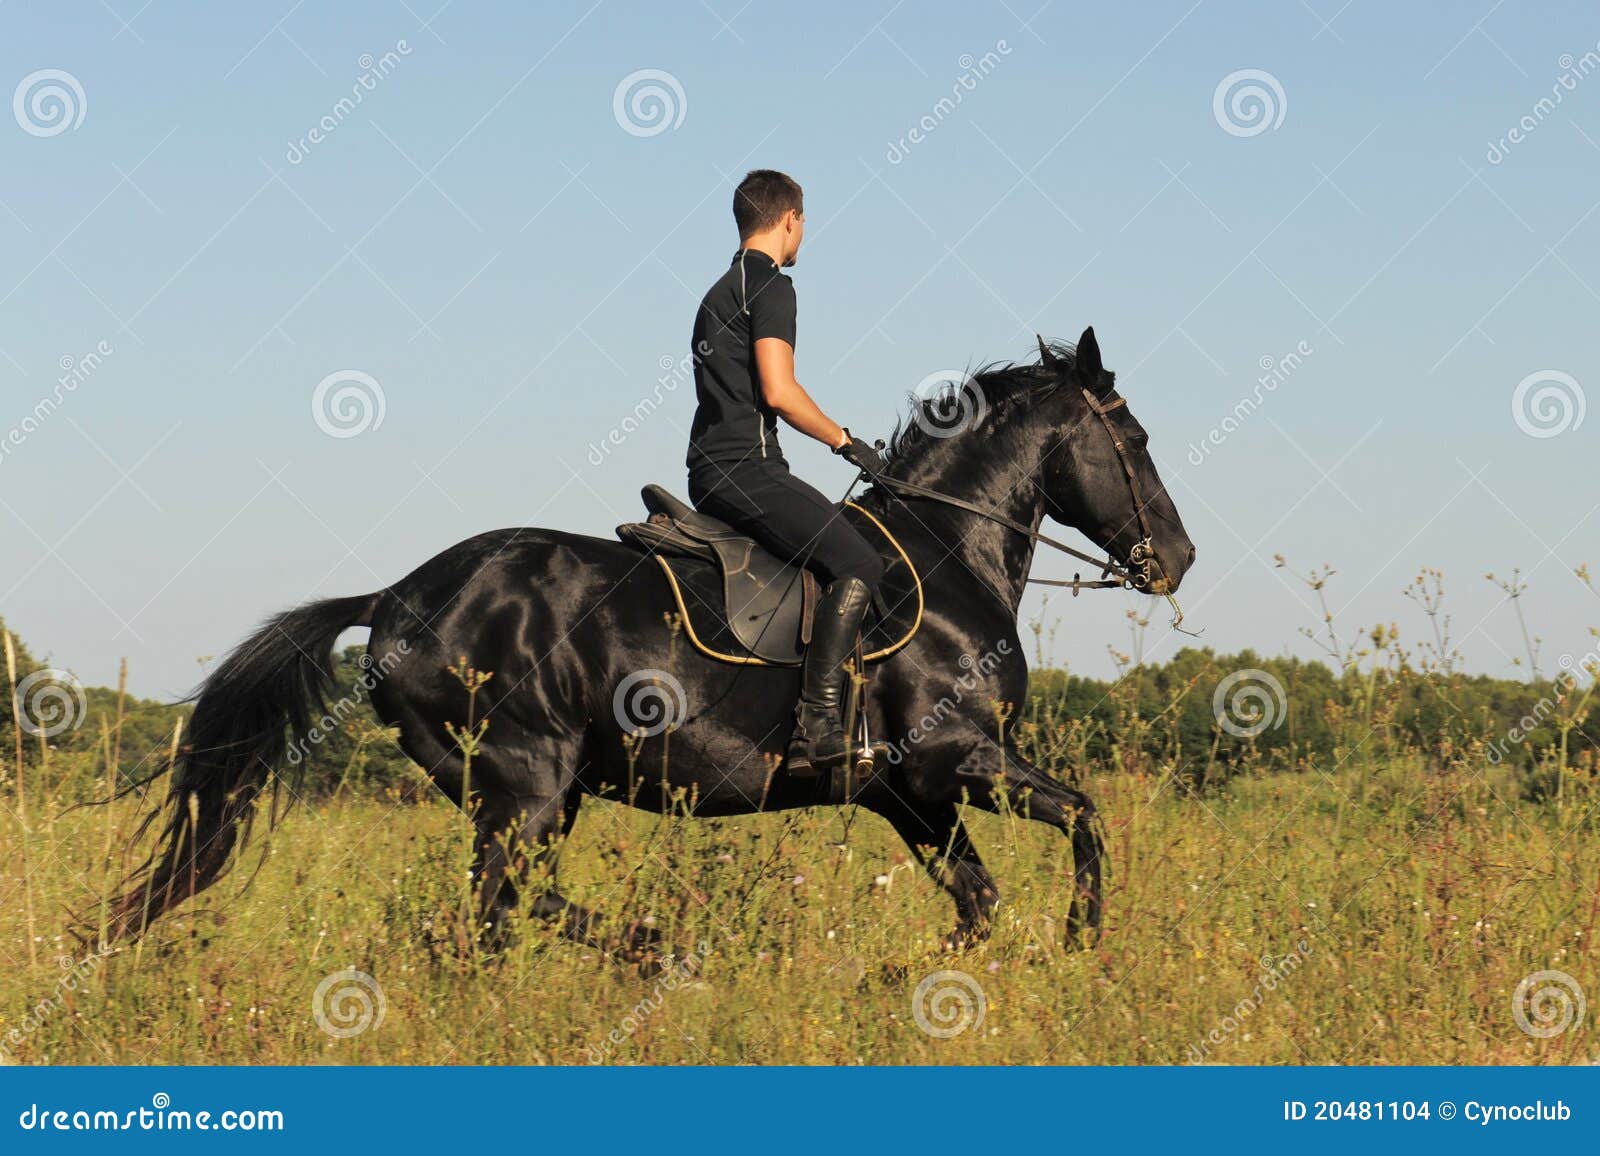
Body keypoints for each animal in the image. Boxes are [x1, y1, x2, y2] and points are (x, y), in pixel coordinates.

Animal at [106, 326, 1194, 954]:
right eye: (1135, 440)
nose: (1177, 559)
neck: (945, 549)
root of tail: (398, 598)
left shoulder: (906, 793)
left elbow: (979, 903)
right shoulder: (953, 758)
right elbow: (1086, 819)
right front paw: (1081, 945)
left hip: (526, 794)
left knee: (500, 911)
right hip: (527, 784)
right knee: (495, 908)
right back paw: (660, 946)